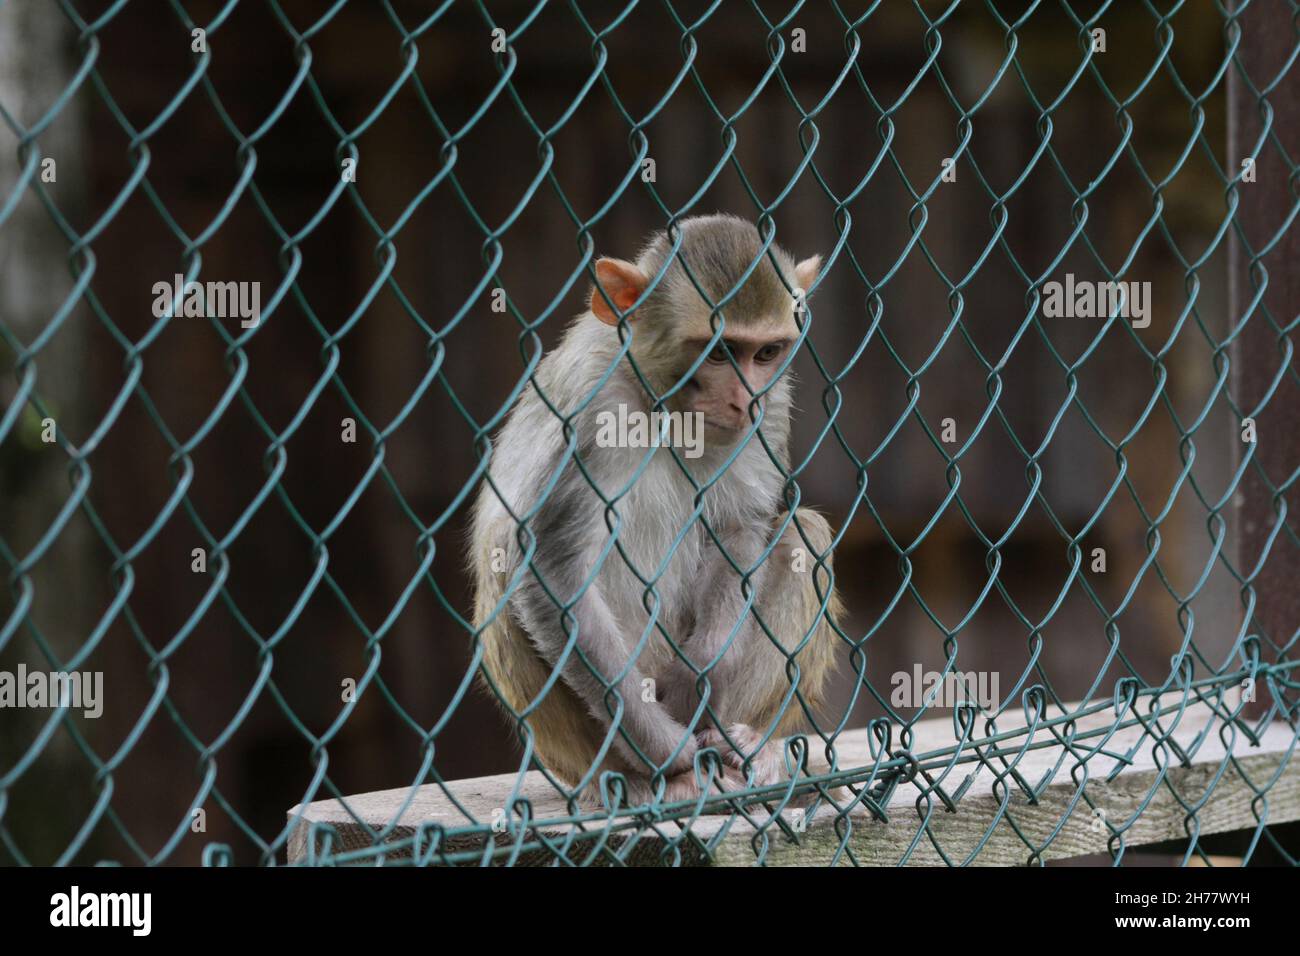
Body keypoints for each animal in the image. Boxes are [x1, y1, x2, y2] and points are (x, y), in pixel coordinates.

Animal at [470, 213, 843, 808]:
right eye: (718, 352)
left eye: (765, 353)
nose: (743, 399)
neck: (664, 405)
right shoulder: (591, 407)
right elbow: (554, 574)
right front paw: (665, 750)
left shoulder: (773, 403)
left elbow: (740, 527)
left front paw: (700, 674)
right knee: (505, 567)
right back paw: (643, 779)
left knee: (803, 534)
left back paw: (748, 744)